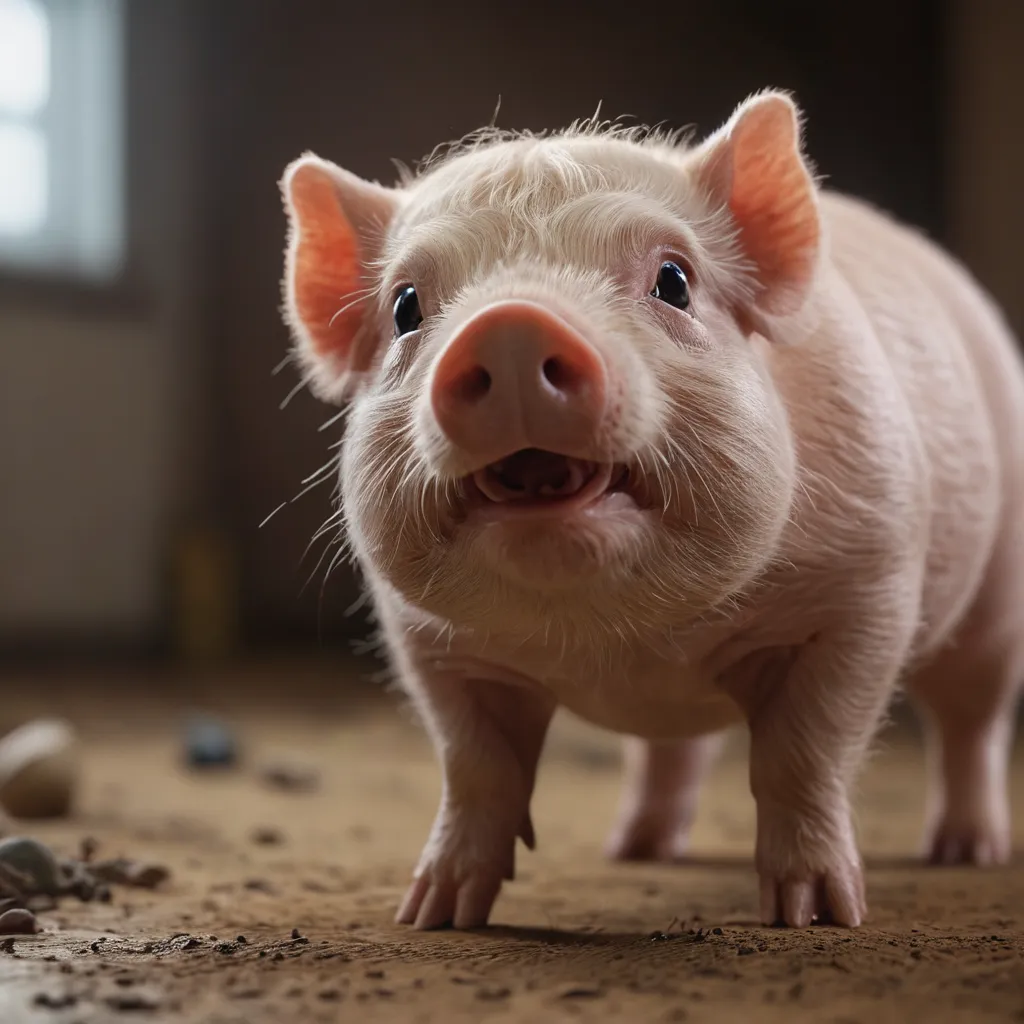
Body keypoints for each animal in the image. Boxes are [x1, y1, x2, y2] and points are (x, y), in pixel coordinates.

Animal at [279, 89, 1024, 931]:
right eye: (406, 307)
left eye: (673, 280)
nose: (510, 325)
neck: (628, 644)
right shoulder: (432, 645)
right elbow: (475, 768)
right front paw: (434, 915)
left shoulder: (865, 591)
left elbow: (804, 753)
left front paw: (815, 916)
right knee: (672, 750)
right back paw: (634, 851)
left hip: (1000, 590)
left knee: (973, 719)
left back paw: (966, 852)